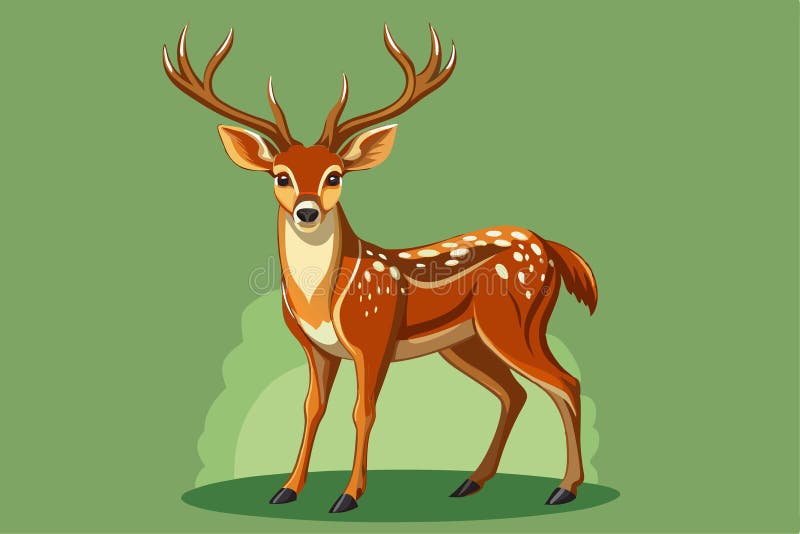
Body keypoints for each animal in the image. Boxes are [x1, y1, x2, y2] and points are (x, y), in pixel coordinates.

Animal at [163, 24, 598, 514]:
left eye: (335, 175)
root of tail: (549, 247)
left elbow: (363, 410)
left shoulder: (373, 338)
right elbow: (311, 408)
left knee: (565, 383)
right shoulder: (315, 349)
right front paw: (286, 489)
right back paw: (471, 482)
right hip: (465, 343)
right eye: (281, 176)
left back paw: (563, 488)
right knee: (515, 392)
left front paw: (347, 496)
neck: (321, 302)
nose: (307, 212)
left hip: (515, 322)